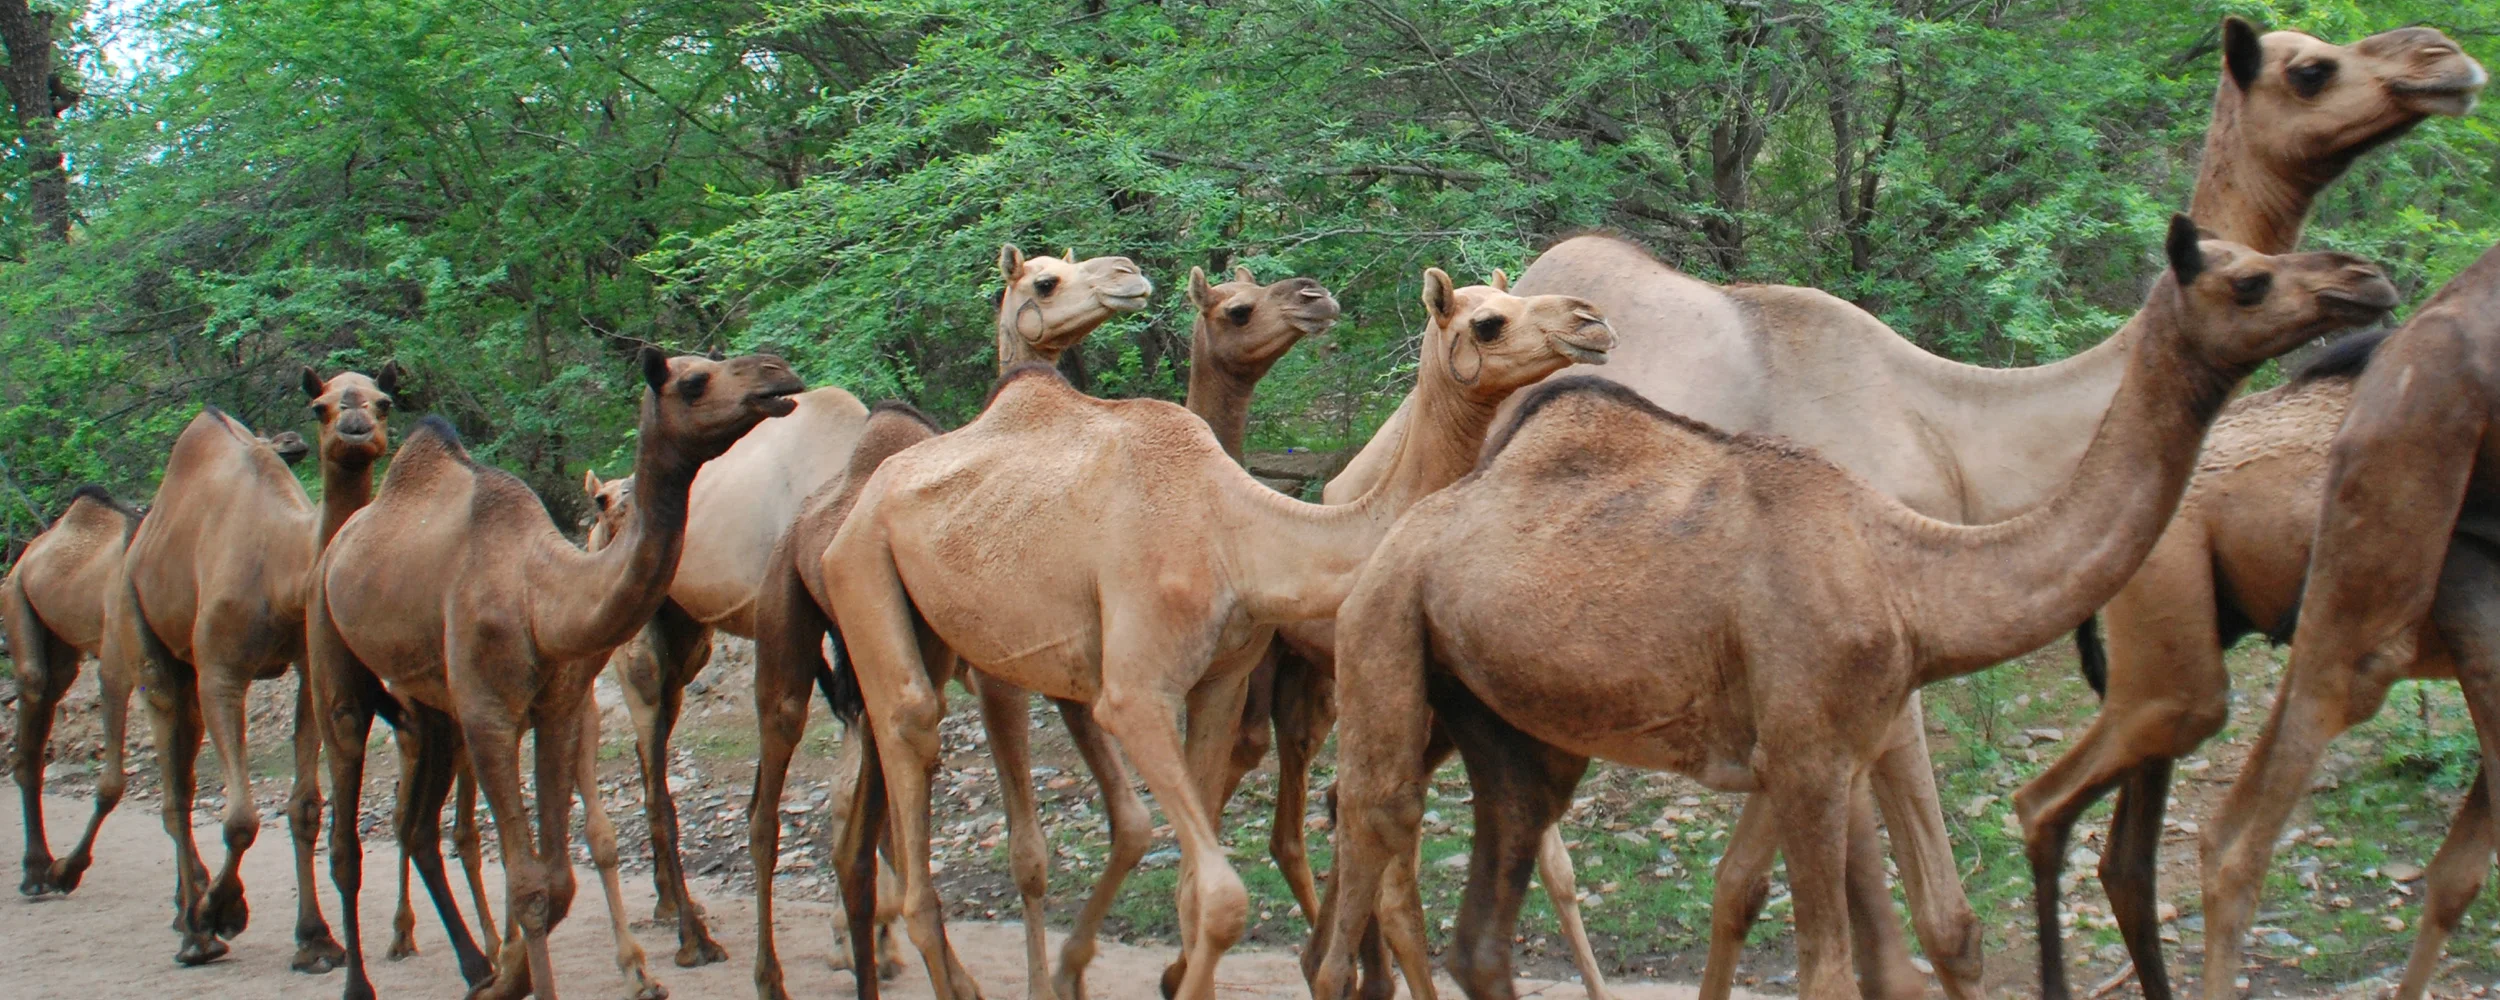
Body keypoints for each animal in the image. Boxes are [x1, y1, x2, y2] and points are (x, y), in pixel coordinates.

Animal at [8, 484, 141, 897]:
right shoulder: (116, 666)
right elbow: (112, 784)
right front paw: (67, 871)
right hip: (14, 595)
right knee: (34, 688)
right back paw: (37, 873)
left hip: (62, 643)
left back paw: (38, 868)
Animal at [109, 364, 399, 969]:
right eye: (319, 406)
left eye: (384, 401)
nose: (356, 426)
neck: (284, 573)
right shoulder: (222, 669)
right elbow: (241, 816)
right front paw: (220, 915)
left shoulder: (310, 667)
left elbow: (305, 807)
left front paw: (316, 941)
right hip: (140, 624)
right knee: (175, 789)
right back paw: (193, 927)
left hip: (187, 672)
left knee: (184, 769)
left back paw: (185, 904)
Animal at [304, 349, 800, 1000]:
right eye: (694, 382)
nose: (779, 374)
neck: (544, 599)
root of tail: (333, 550)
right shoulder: (489, 717)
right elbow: (529, 885)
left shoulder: (560, 707)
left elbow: (559, 878)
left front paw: (509, 977)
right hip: (333, 655)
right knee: (345, 832)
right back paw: (357, 980)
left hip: (429, 709)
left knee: (415, 827)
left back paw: (476, 968)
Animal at [592, 248, 1151, 972]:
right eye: (1045, 281)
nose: (1128, 274)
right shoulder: (960, 671)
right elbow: (1006, 846)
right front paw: (864, 939)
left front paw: (875, 938)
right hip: (683, 641)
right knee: (680, 770)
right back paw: (702, 937)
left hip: (697, 637)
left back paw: (679, 915)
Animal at [821, 267, 1609, 1000]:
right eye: (1486, 323)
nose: (1591, 319)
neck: (1243, 534)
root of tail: (861, 498)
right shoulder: (1135, 694)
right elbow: (1226, 900)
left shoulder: (1223, 684)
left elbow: (1195, 894)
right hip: (864, 571)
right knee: (912, 740)